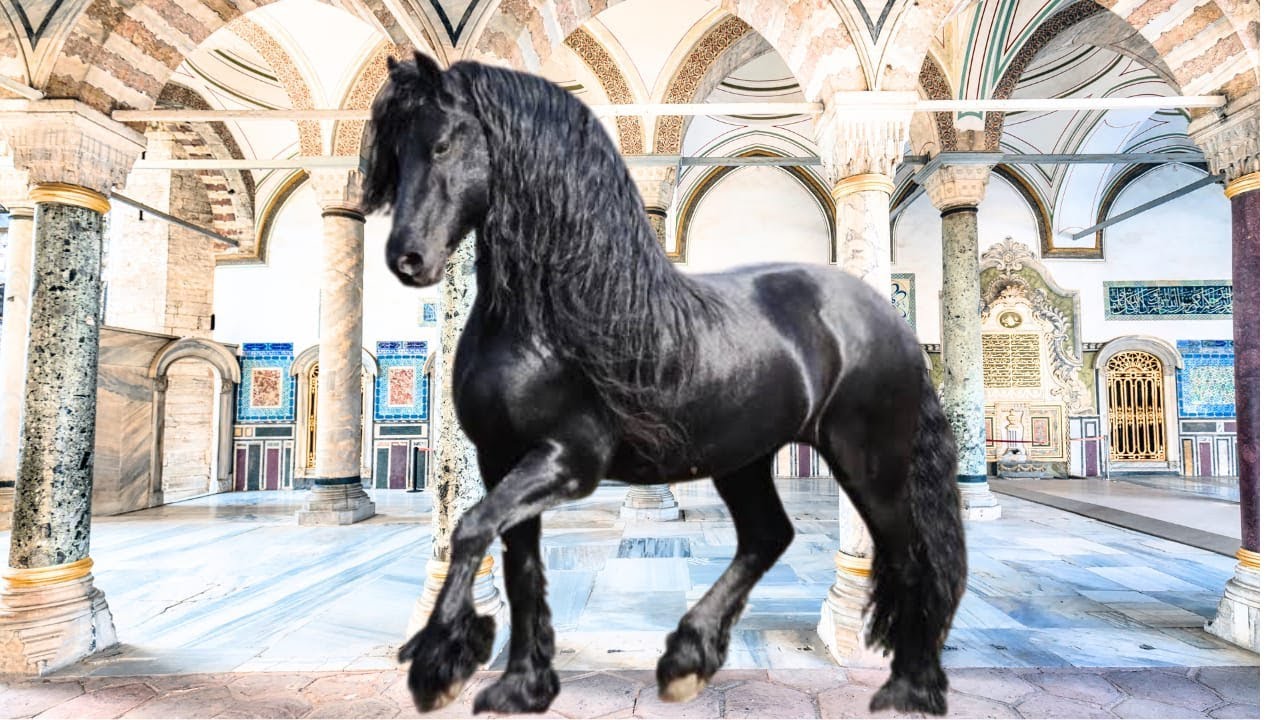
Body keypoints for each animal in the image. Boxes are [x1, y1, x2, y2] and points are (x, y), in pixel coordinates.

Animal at [363, 52, 967, 717]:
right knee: (769, 535)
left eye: (443, 143)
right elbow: (517, 564)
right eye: (394, 155)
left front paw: (441, 660)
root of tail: (888, 316)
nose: (407, 259)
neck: (547, 315)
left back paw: (909, 685)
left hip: (869, 461)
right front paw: (520, 682)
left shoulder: (569, 460)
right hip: (744, 456)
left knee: (907, 559)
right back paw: (688, 657)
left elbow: (470, 528)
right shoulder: (501, 460)